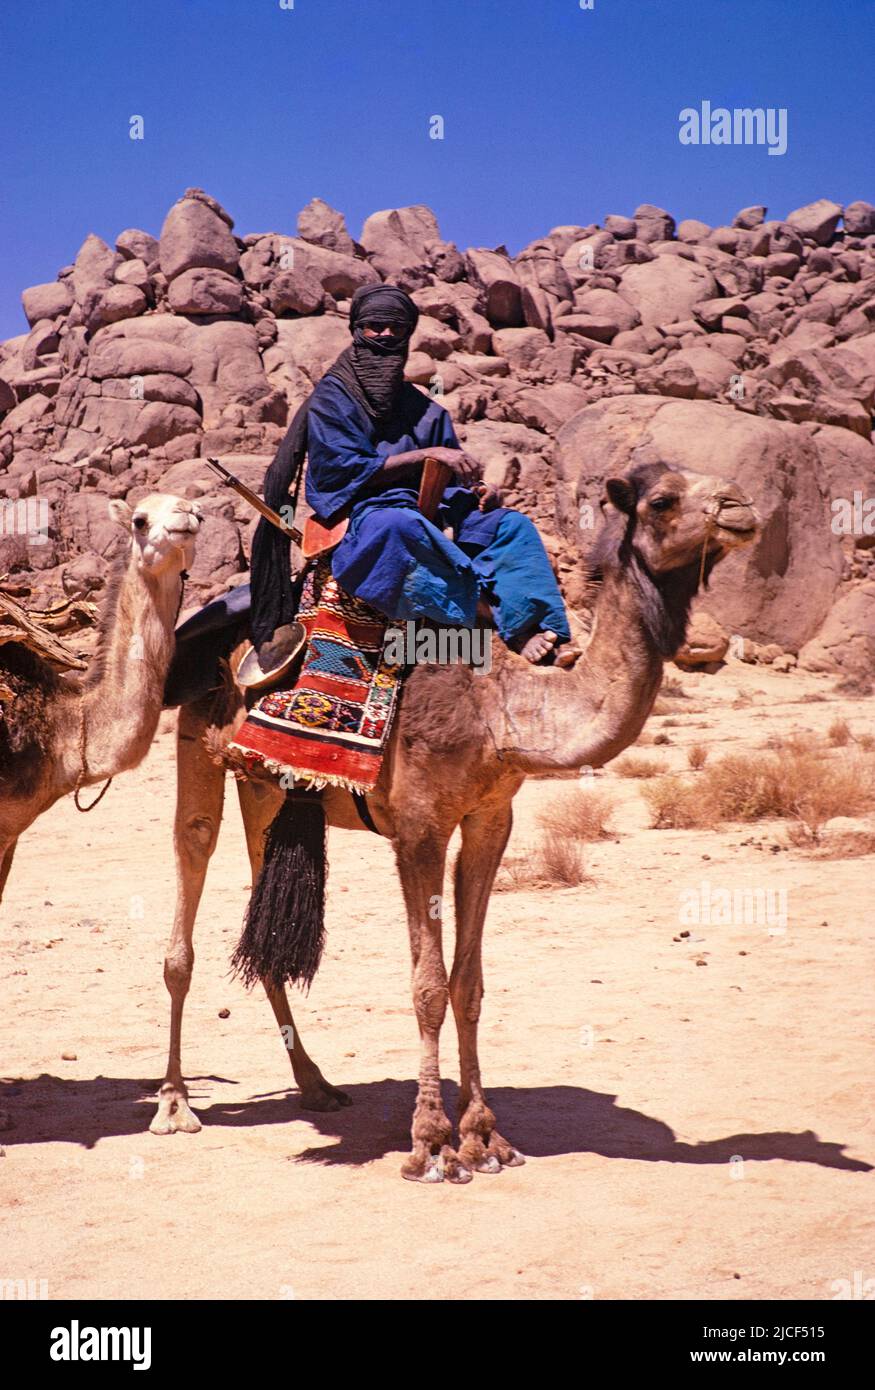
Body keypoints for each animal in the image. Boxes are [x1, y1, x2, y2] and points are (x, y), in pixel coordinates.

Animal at [152, 461, 758, 1183]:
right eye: (663, 500)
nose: (742, 507)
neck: (500, 706)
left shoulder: (490, 817)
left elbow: (469, 984)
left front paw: (484, 1138)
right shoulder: (419, 826)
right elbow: (428, 987)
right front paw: (431, 1145)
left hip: (264, 787)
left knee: (263, 921)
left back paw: (317, 1086)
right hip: (199, 743)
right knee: (188, 886)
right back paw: (175, 1105)